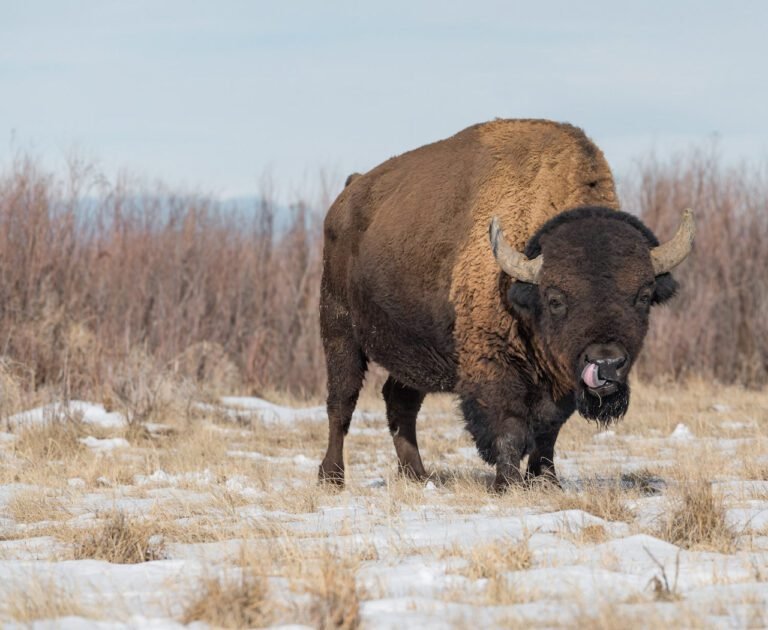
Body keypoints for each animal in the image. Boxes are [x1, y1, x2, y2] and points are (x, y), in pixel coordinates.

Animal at [318, 119, 694, 490]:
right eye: (555, 299)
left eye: (643, 296)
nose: (606, 364)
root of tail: (347, 195)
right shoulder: (494, 365)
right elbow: (510, 425)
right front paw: (507, 482)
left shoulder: (560, 379)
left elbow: (548, 428)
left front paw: (546, 480)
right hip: (339, 329)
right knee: (342, 402)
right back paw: (332, 476)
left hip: (411, 351)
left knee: (400, 402)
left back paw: (416, 474)